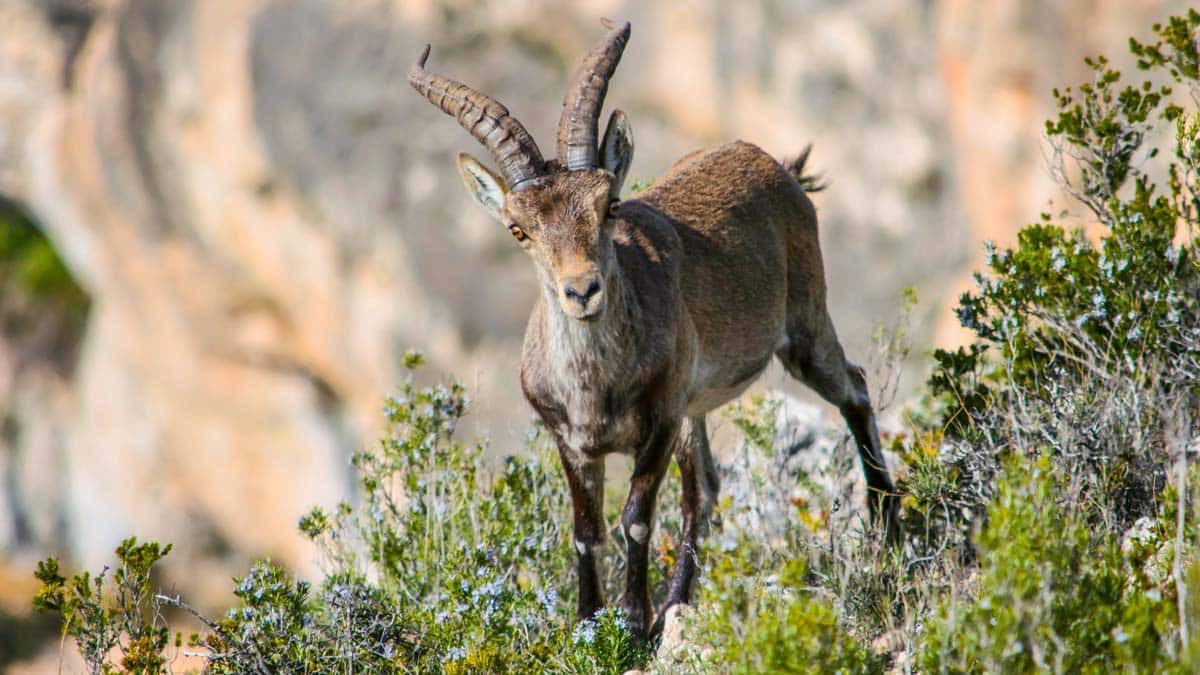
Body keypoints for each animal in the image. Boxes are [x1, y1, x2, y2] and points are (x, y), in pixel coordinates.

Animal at [409, 19, 900, 638]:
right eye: (519, 230)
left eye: (610, 205)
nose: (582, 291)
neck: (596, 385)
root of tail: (774, 164)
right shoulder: (571, 439)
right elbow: (586, 529)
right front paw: (589, 622)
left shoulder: (663, 417)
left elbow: (637, 517)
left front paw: (632, 621)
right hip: (700, 405)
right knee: (706, 489)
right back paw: (677, 605)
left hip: (803, 327)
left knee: (853, 389)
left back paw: (887, 529)